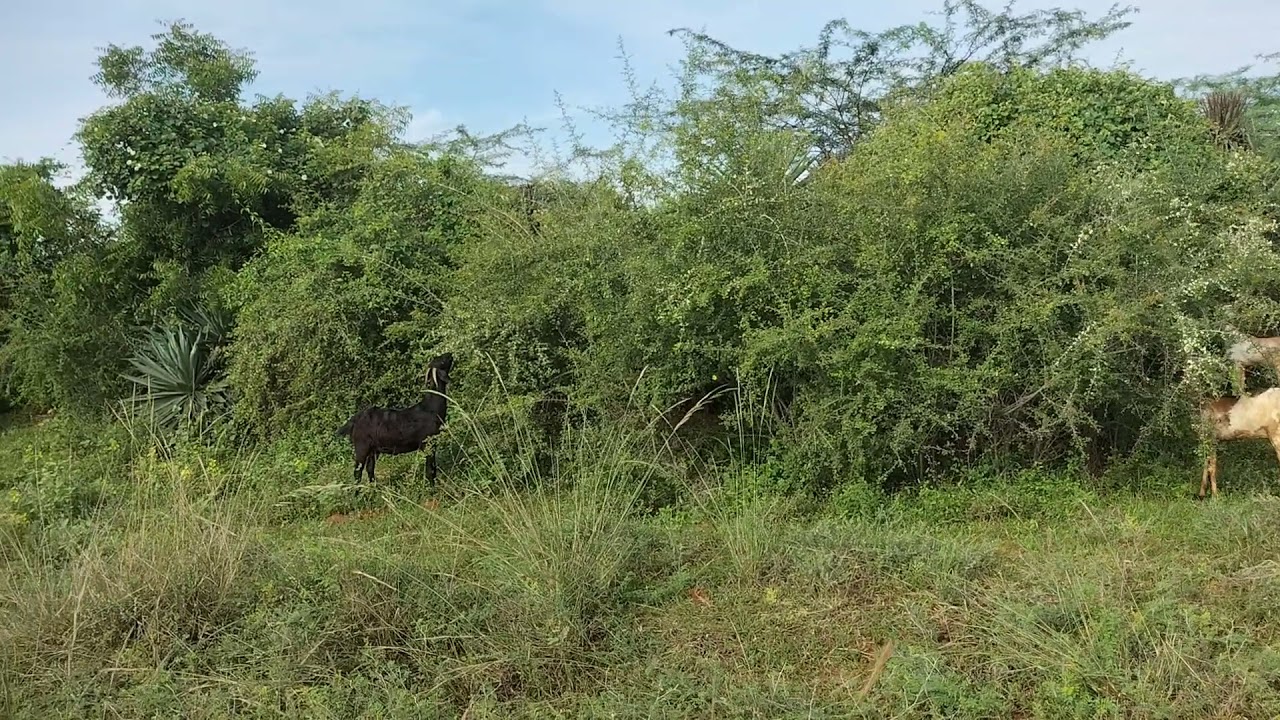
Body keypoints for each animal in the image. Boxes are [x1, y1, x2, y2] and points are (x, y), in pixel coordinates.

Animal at [335, 353, 455, 484]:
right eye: (442, 362)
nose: (450, 354)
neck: (430, 407)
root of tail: (355, 420)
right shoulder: (427, 443)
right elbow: (430, 468)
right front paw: (431, 485)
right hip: (362, 446)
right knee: (358, 470)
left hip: (374, 449)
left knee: (369, 467)